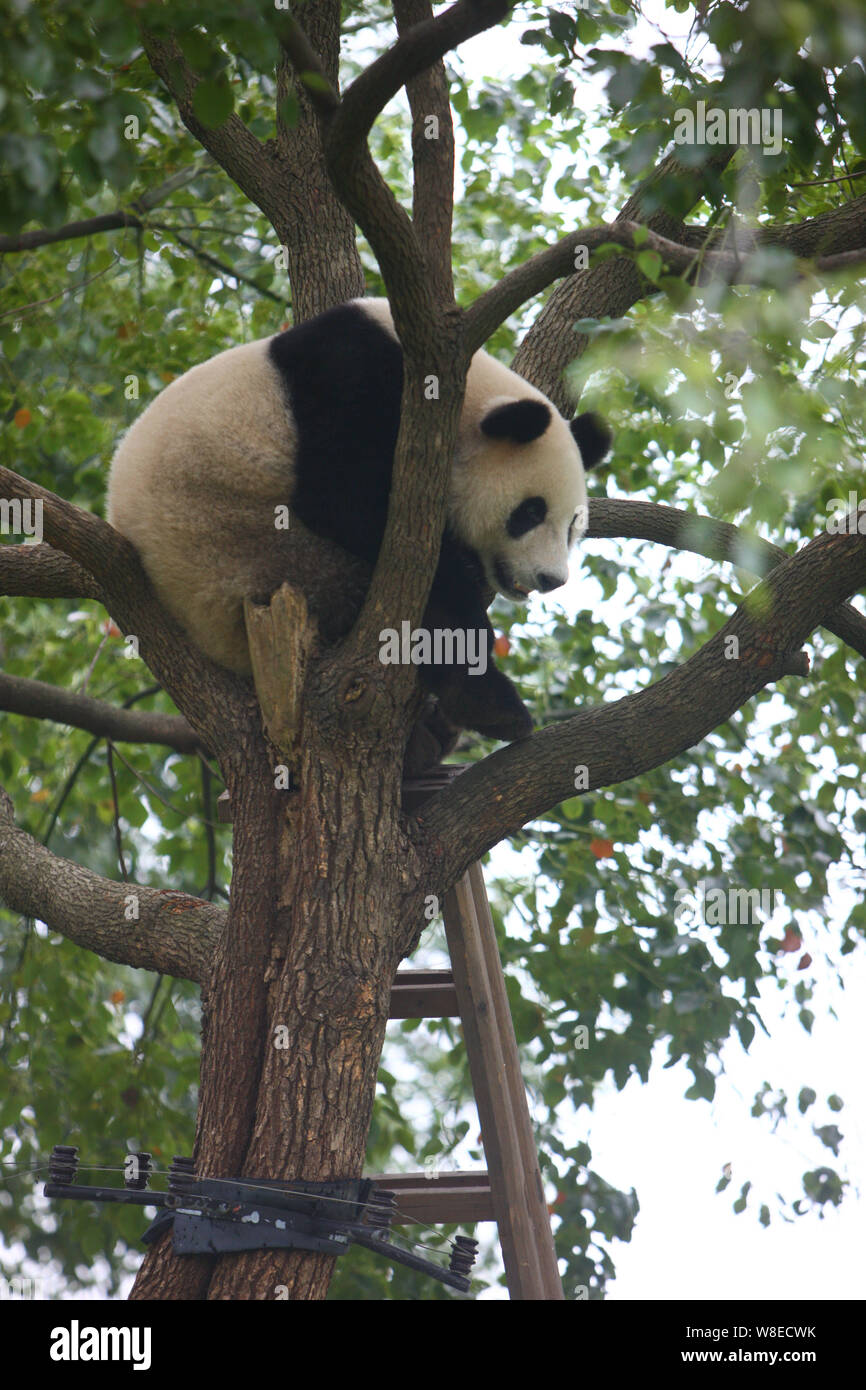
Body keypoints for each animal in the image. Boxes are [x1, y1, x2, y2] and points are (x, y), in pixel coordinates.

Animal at [106, 298, 610, 742]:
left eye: (571, 527)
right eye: (530, 513)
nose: (551, 579)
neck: (463, 403)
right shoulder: (348, 376)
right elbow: (341, 498)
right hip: (263, 559)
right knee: (422, 609)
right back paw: (488, 704)